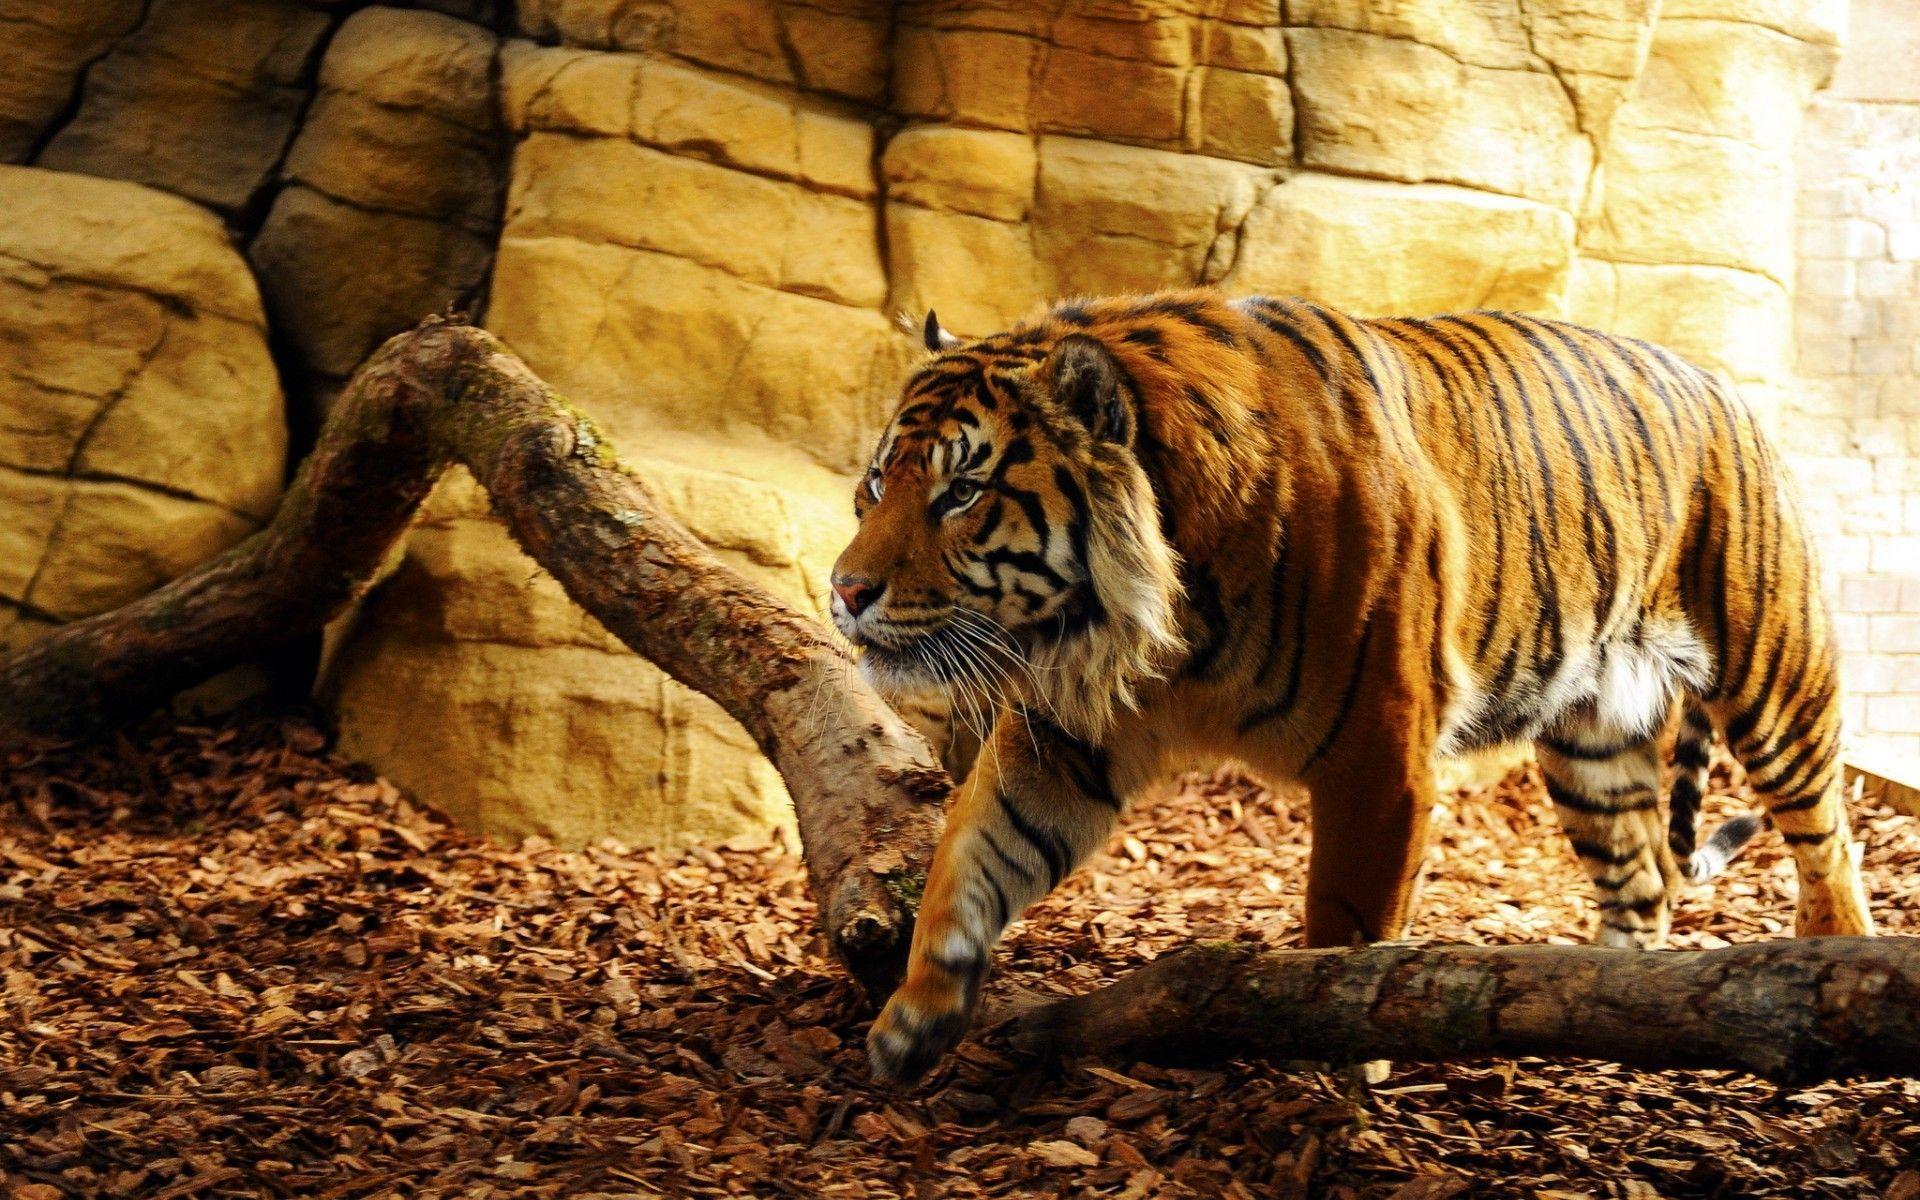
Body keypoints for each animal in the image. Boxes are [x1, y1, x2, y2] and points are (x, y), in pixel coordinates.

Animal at [828, 289, 1876, 1084]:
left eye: (961, 494)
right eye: (877, 483)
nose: (843, 591)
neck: (1150, 621)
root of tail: (1723, 386)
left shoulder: (1378, 757)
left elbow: (1341, 928)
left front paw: (1328, 1067)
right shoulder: (1064, 734)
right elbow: (971, 853)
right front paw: (915, 1017)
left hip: (1775, 677)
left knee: (1828, 838)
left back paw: (1829, 955)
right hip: (1592, 741)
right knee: (1644, 878)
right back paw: (1600, 1003)